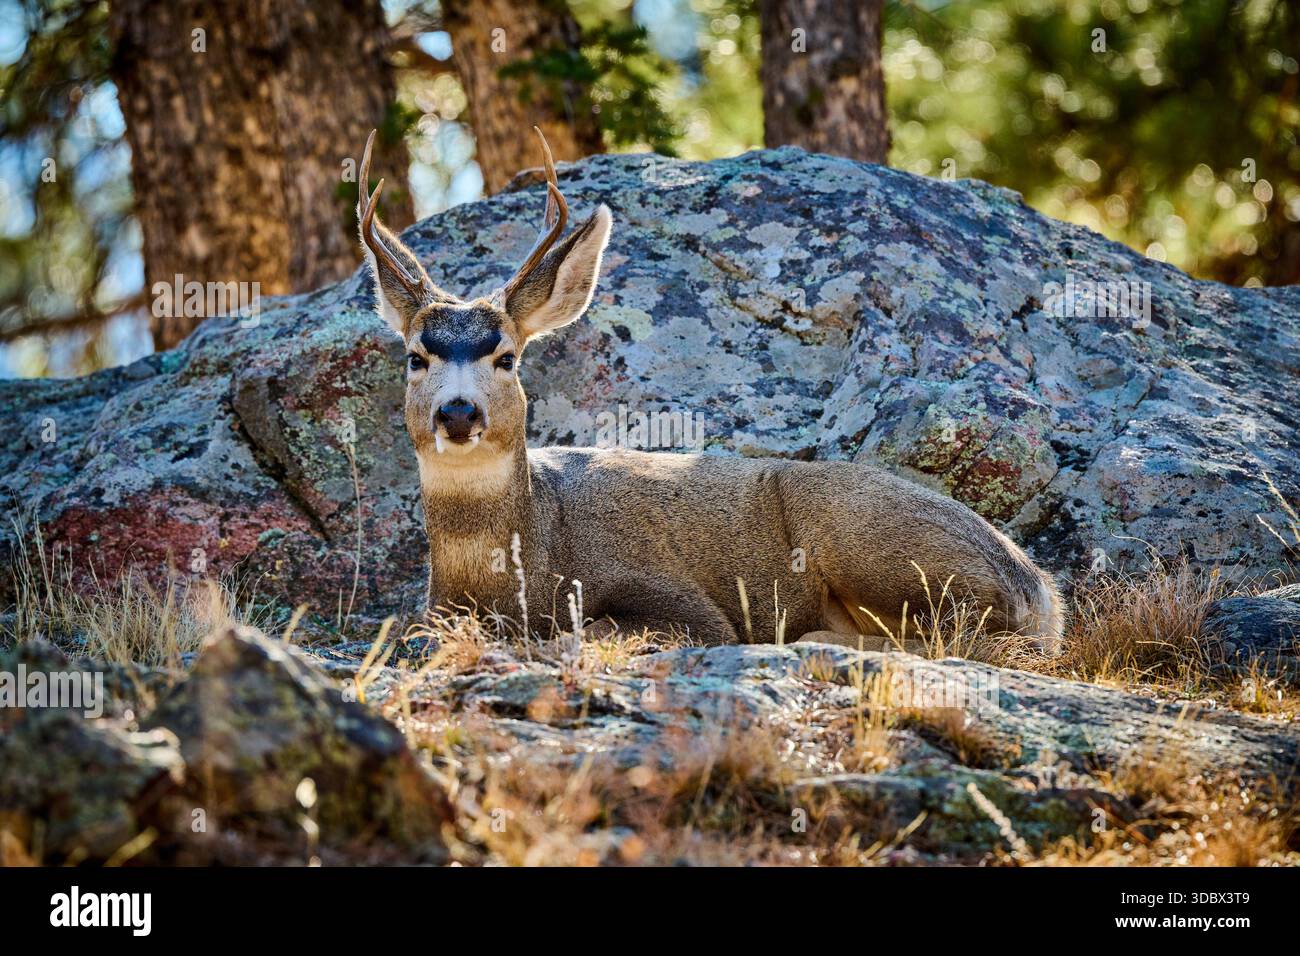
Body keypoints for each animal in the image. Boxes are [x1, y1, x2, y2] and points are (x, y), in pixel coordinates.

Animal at [355, 129, 1065, 653]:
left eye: (506, 357)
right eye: (416, 356)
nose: (457, 412)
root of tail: (1039, 589)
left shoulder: (680, 601)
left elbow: (597, 632)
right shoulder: (436, 611)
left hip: (875, 544)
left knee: (968, 638)